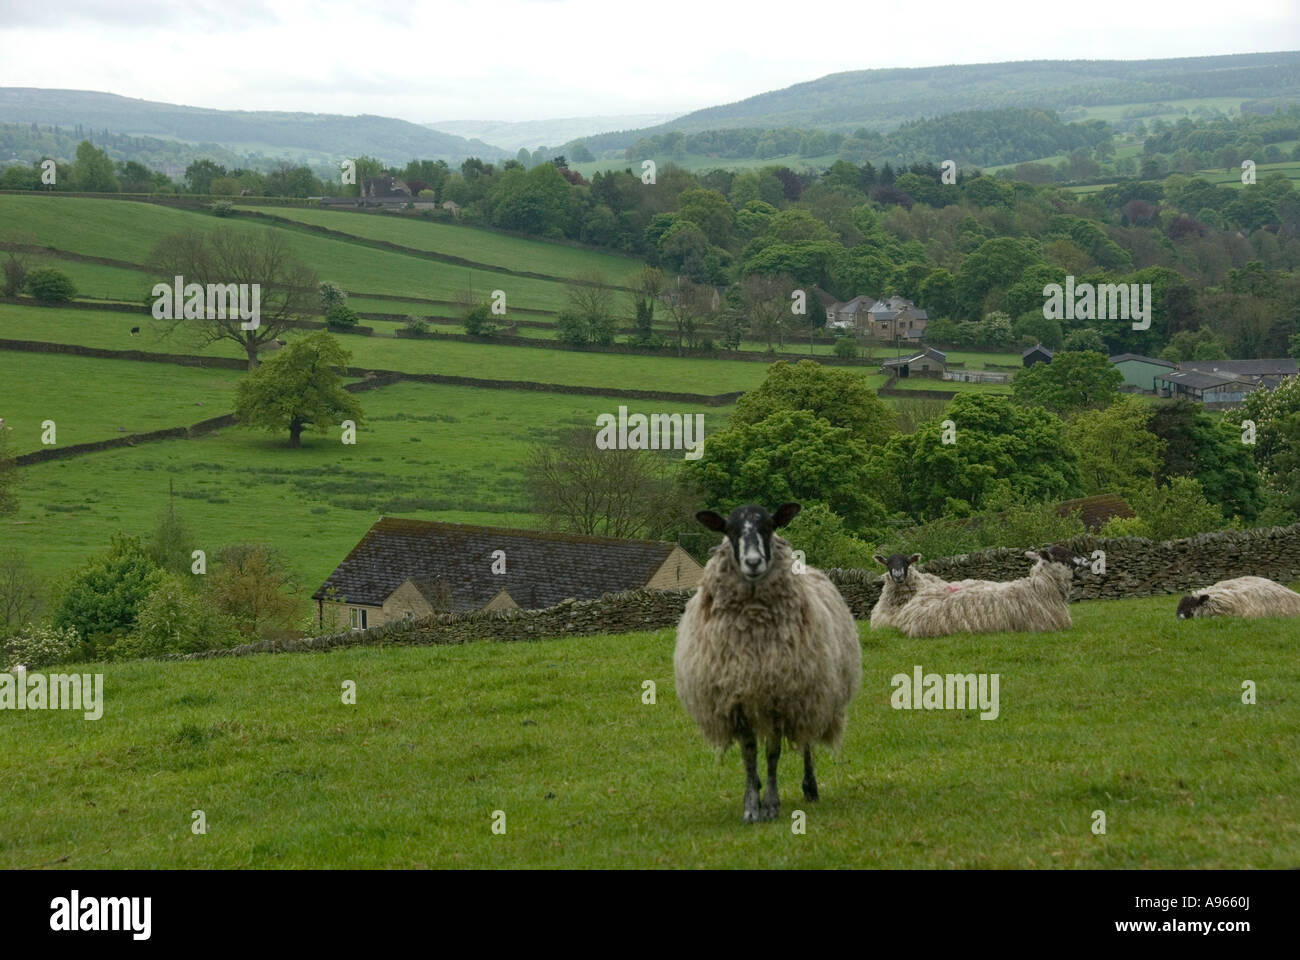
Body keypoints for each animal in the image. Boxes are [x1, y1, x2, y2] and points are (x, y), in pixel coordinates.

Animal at [673, 502, 861, 823]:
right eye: (730, 530)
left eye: (770, 526)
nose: (753, 562)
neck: (754, 632)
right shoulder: (738, 700)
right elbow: (749, 755)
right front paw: (751, 804)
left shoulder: (779, 698)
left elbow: (773, 753)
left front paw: (771, 804)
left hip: (810, 694)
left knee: (806, 742)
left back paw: (810, 787)